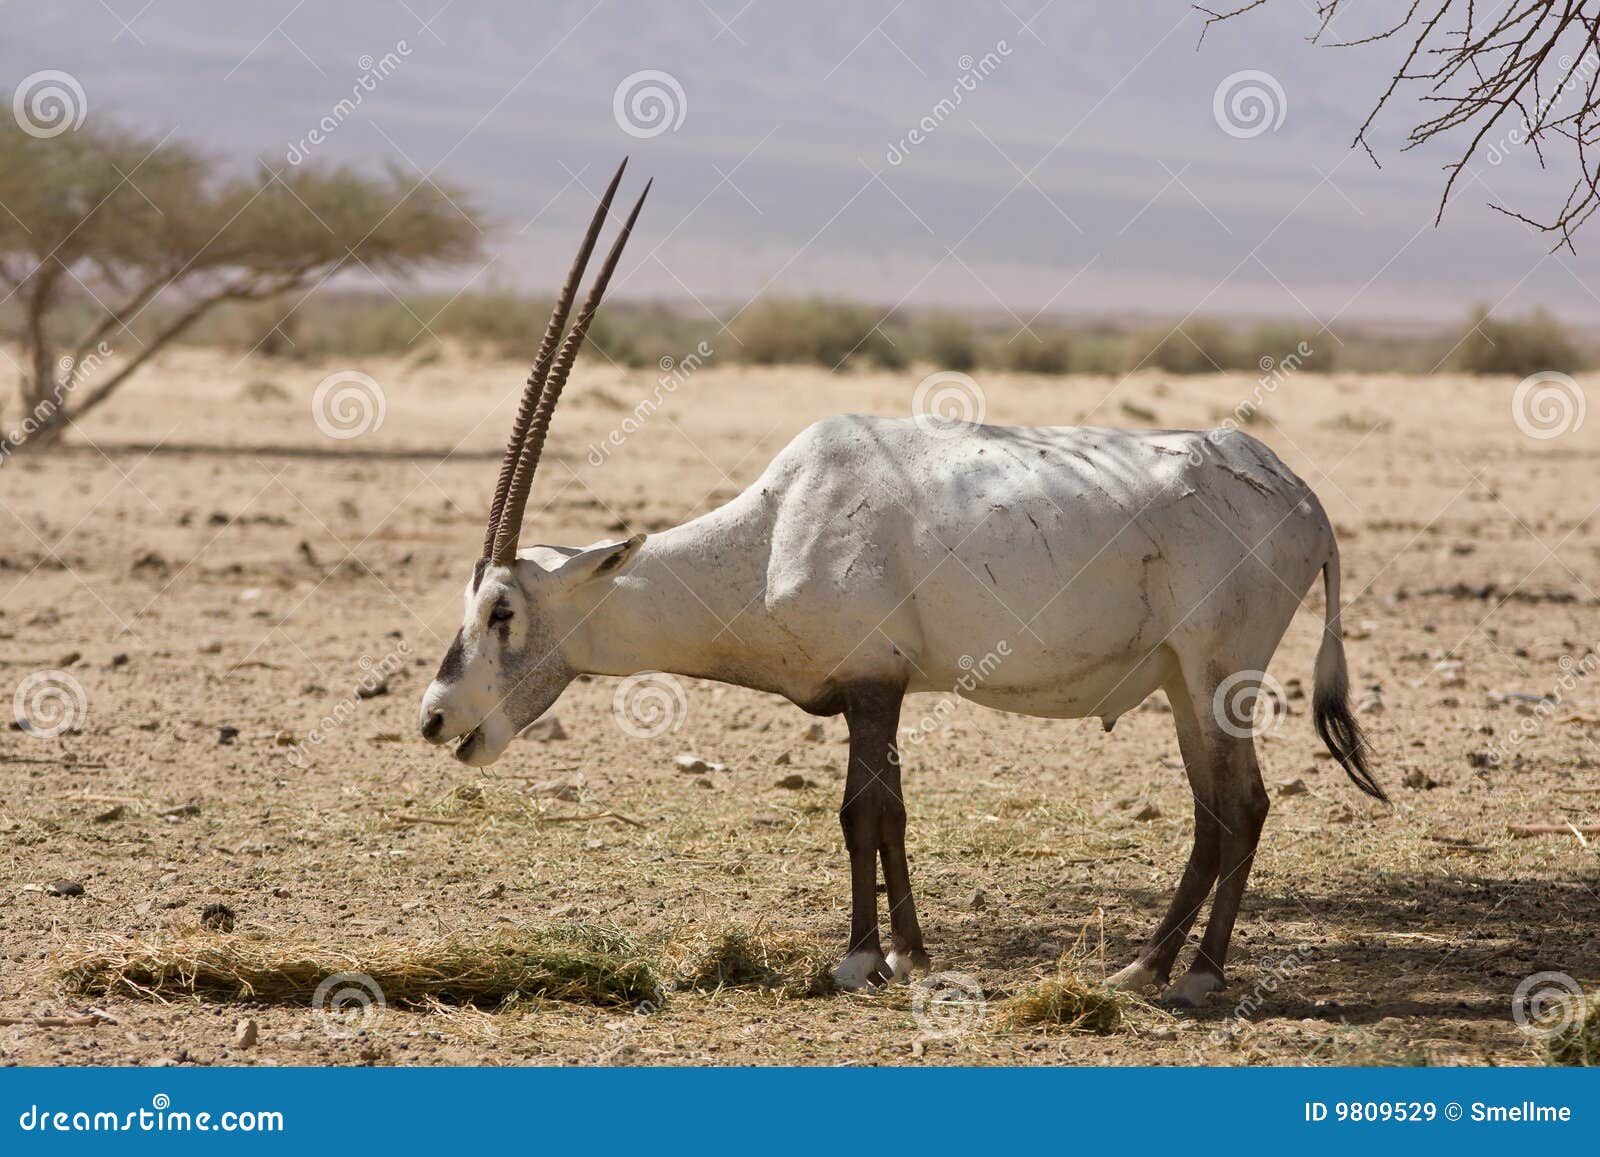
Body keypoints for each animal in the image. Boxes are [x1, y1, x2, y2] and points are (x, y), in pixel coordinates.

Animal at [418, 160, 1384, 1006]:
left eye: (502, 609)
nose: (435, 717)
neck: (774, 529)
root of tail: (1303, 498)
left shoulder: (872, 680)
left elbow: (867, 814)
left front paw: (868, 958)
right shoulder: (870, 689)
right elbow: (882, 815)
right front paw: (899, 954)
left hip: (1222, 672)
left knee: (1242, 806)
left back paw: (1198, 977)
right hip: (1186, 680)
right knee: (1216, 812)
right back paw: (1144, 968)